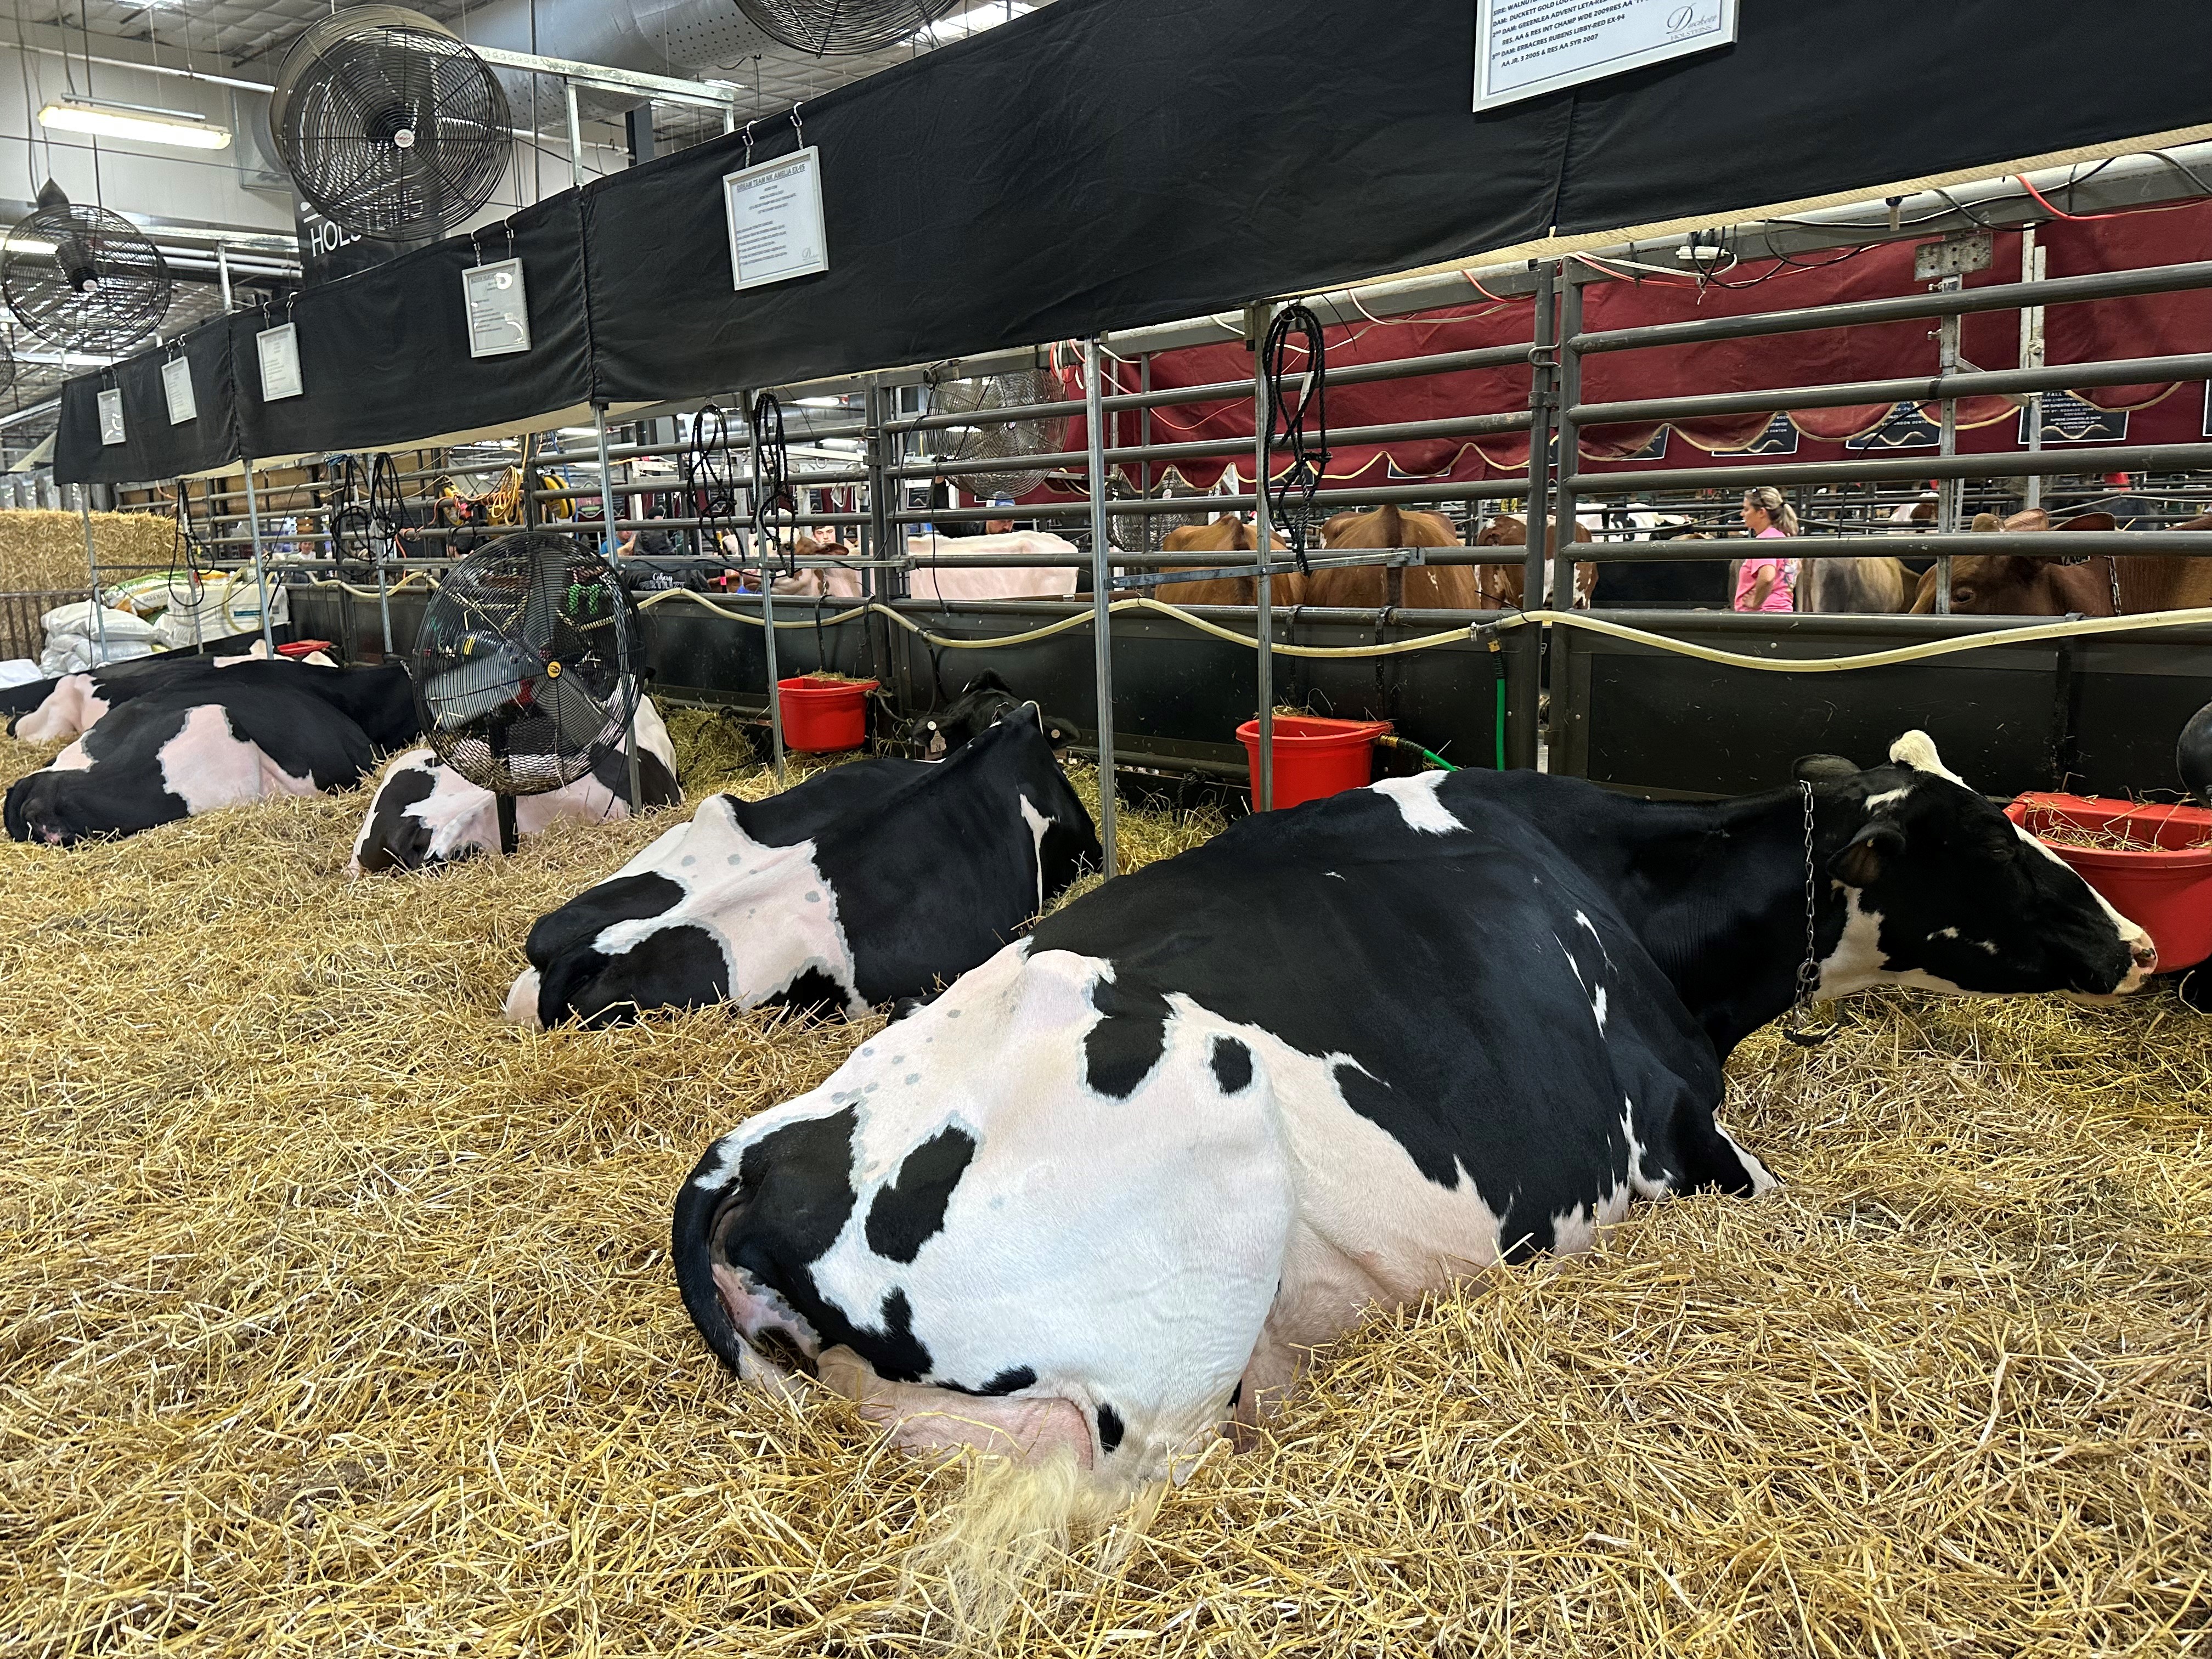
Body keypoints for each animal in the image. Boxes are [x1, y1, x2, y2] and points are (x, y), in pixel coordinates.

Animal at [671, 731, 2154, 1482]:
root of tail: (758, 1153)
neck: (1623, 885)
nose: (2136, 941)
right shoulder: (1685, 1136)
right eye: (1993, 842)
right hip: (1147, 1361)